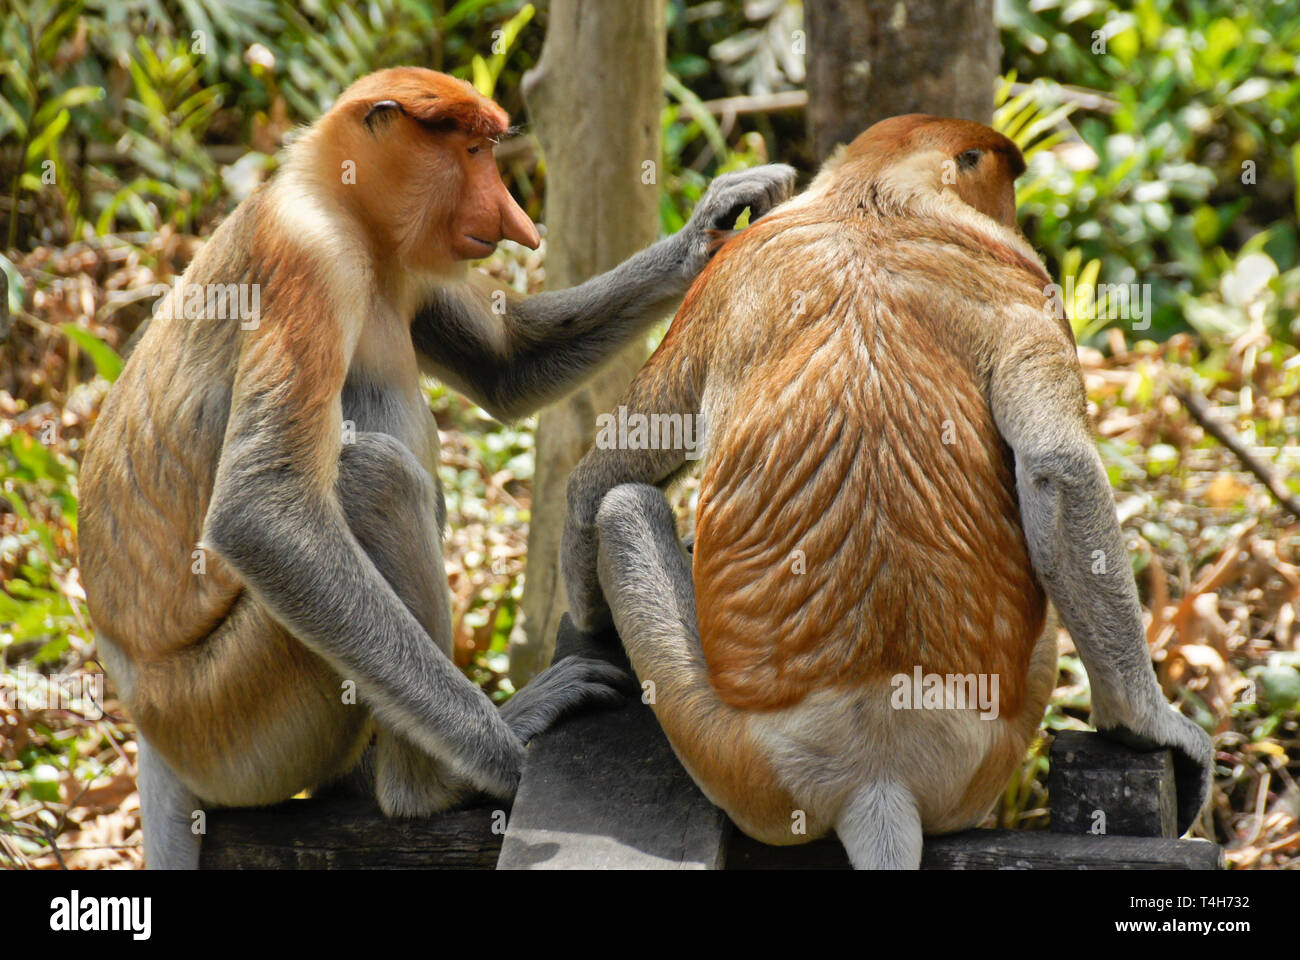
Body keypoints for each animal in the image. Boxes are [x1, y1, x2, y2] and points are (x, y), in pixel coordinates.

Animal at [77, 67, 796, 869]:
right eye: (473, 151)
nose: (519, 223)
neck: (344, 205)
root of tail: (148, 719)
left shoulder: (409, 266)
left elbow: (509, 368)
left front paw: (715, 222)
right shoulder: (310, 255)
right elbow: (259, 514)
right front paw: (506, 750)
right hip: (231, 715)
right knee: (373, 477)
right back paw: (427, 786)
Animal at [560, 114, 1214, 870]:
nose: (1015, 210)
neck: (875, 200)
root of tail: (876, 774)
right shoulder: (1033, 290)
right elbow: (1060, 465)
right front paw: (1153, 726)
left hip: (732, 744)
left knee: (622, 504)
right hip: (777, 748)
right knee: (624, 507)